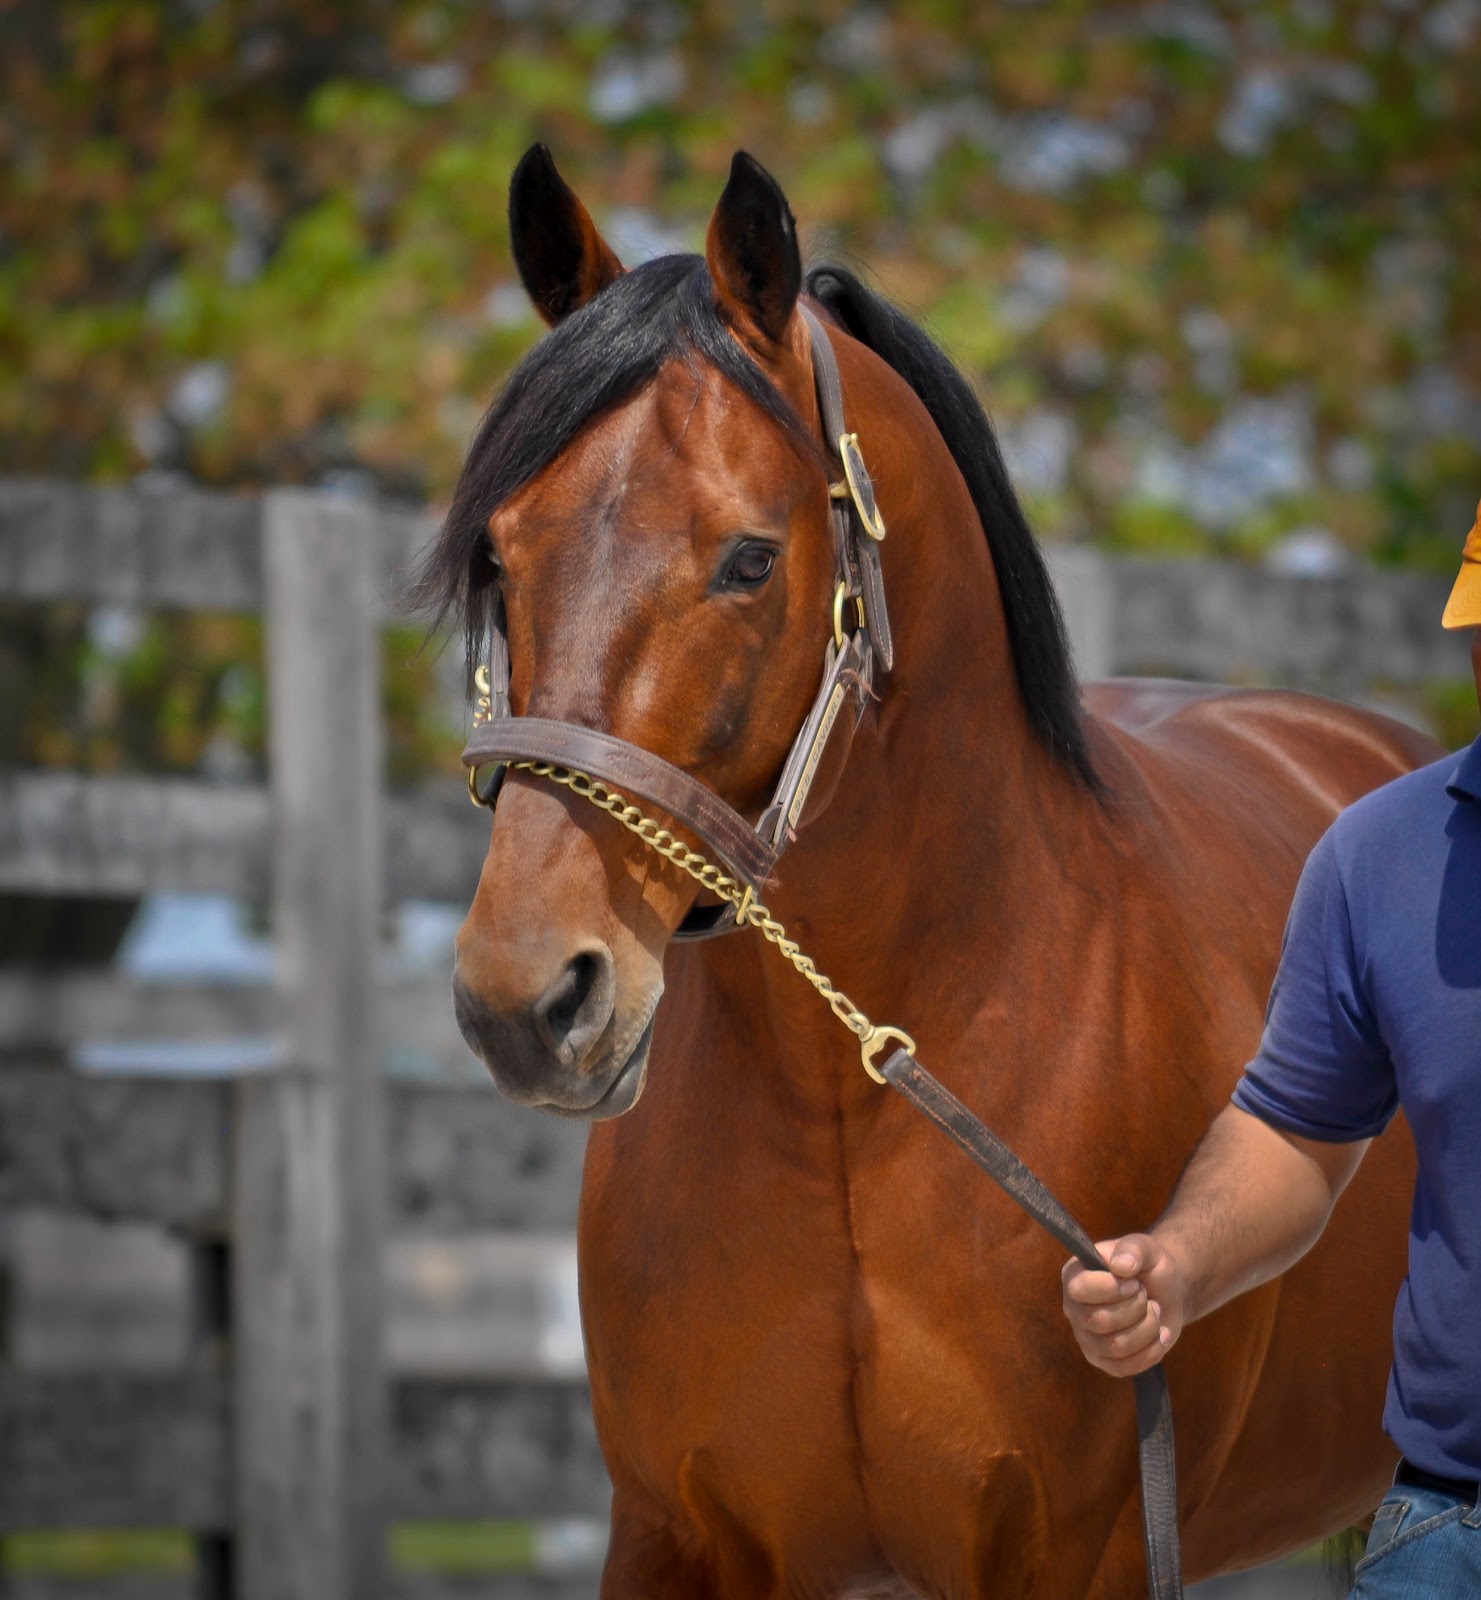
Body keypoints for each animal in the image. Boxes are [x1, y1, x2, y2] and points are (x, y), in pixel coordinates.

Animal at [419, 146, 1433, 1597]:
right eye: (499, 554)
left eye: (749, 557)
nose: (526, 997)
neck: (853, 1099)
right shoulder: (674, 1535)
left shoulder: (1073, 1553)